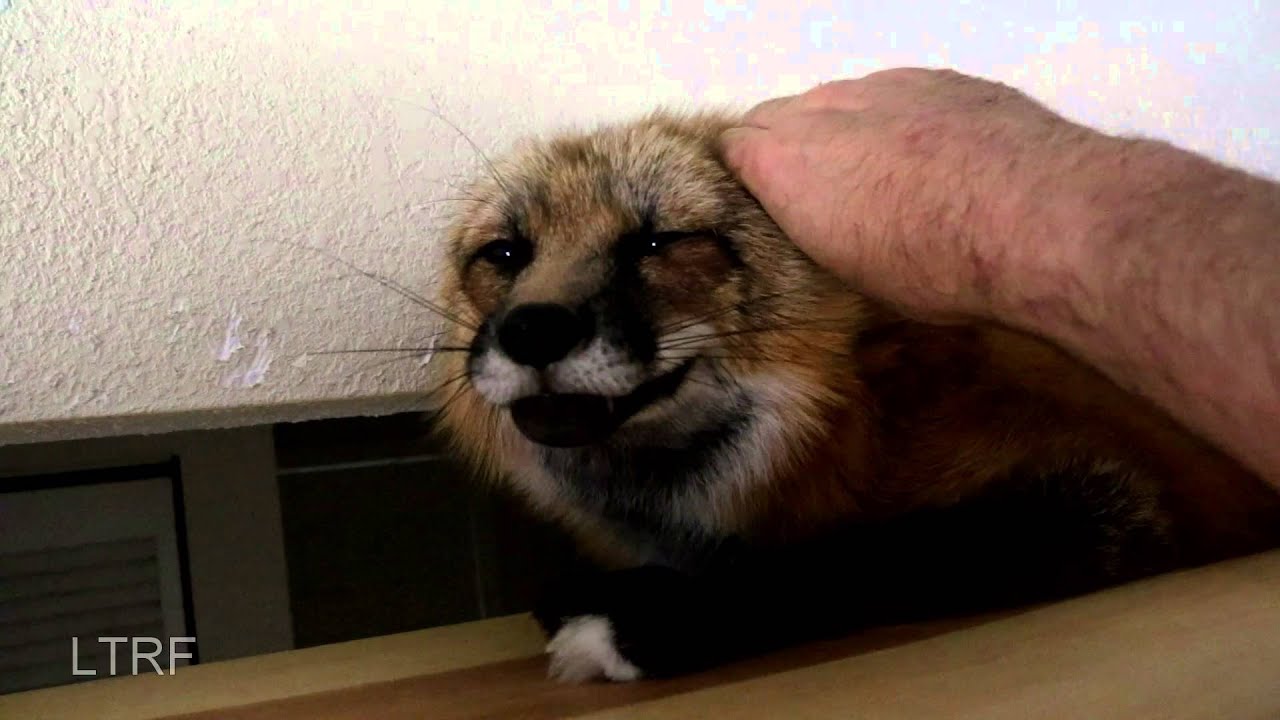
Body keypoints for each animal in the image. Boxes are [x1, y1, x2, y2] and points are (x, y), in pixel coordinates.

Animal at [428, 109, 1280, 683]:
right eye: (505, 254)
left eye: (659, 242)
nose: (534, 329)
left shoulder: (1108, 495)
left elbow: (867, 553)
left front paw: (648, 620)